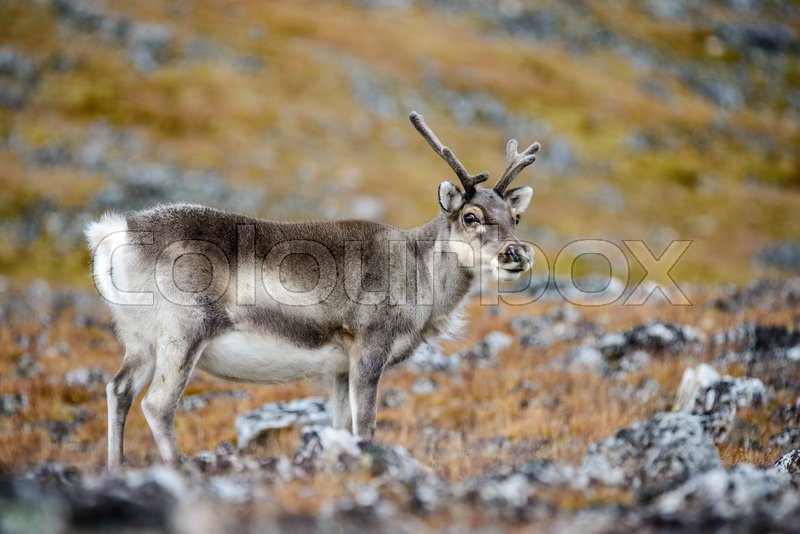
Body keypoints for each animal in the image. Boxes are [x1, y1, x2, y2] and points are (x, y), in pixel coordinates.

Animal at [85, 111, 540, 469]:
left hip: (139, 339)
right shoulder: (369, 346)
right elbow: (366, 426)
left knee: (118, 389)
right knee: (158, 405)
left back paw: (116, 469)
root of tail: (115, 232)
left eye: (515, 216)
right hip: (182, 333)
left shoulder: (338, 367)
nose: (517, 253)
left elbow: (339, 426)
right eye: (470, 216)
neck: (419, 270)